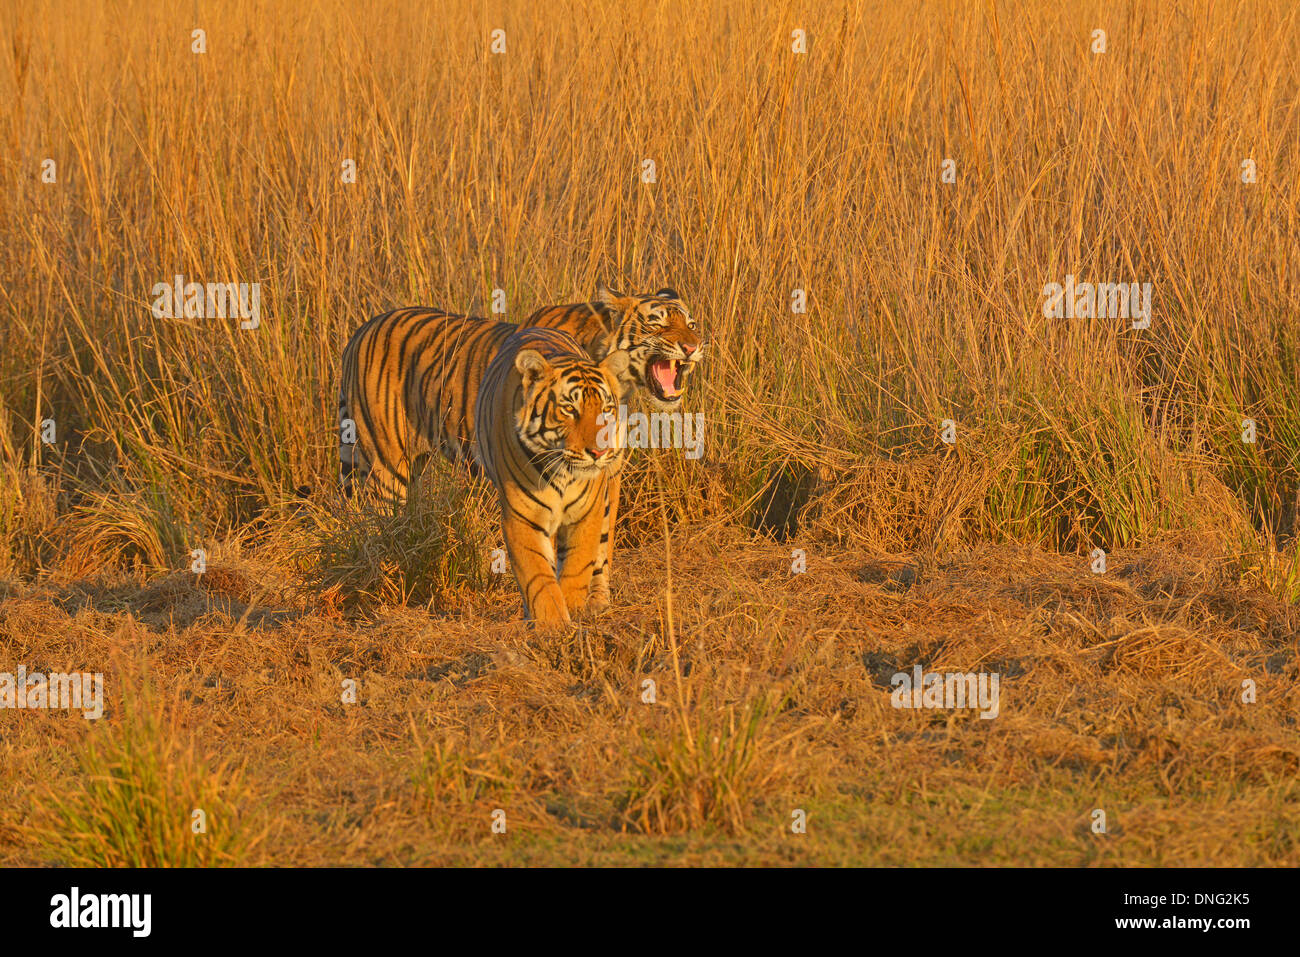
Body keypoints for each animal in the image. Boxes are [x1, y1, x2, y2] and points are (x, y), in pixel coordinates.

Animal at [473, 326, 629, 624]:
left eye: (606, 409)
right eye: (569, 409)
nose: (599, 452)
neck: (564, 475)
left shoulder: (587, 512)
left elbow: (577, 566)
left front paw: (574, 609)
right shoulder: (521, 517)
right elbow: (537, 576)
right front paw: (552, 623)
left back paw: (598, 601)